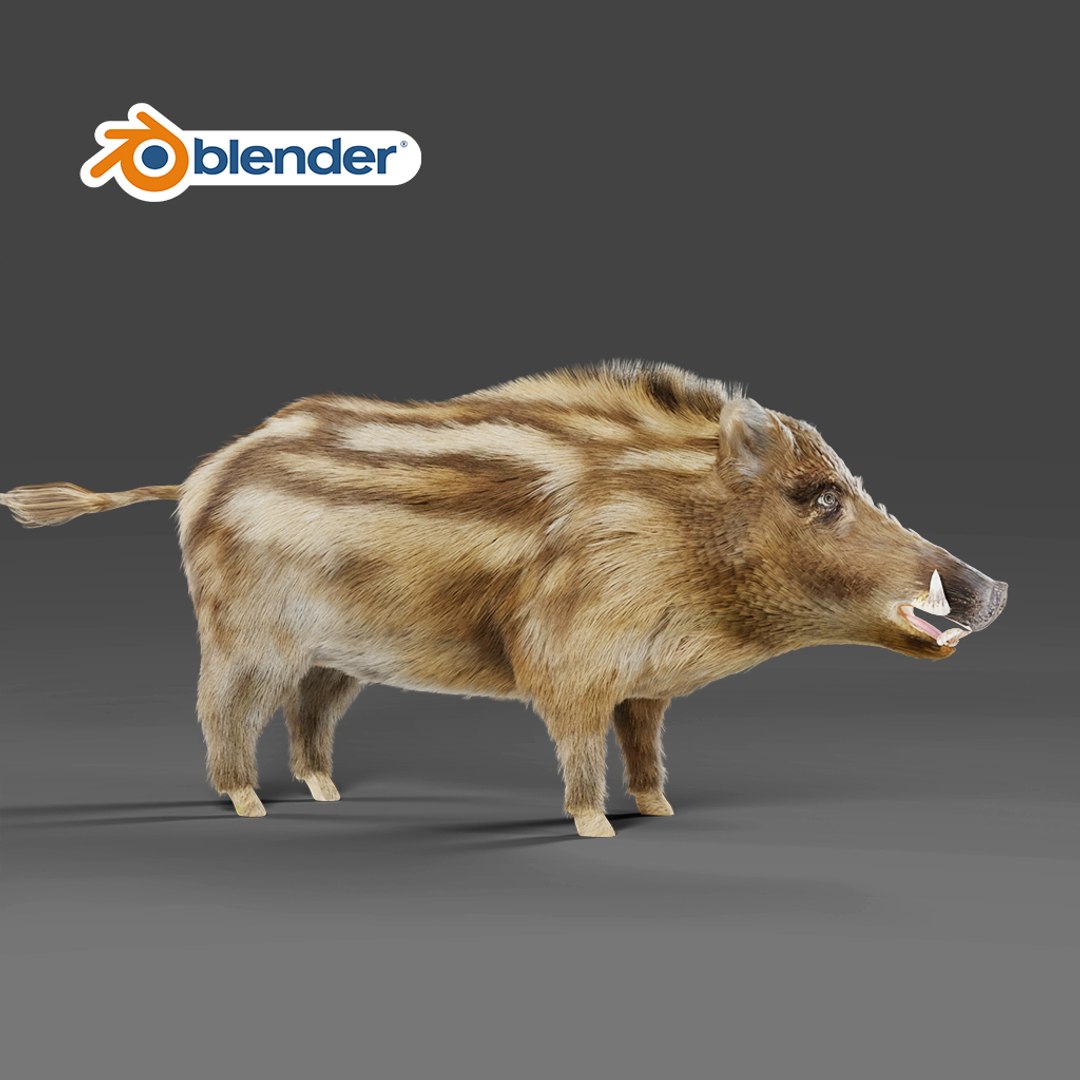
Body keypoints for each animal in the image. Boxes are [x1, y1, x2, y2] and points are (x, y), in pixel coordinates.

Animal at [0, 362, 1007, 837]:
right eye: (822, 500)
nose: (992, 589)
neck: (682, 534)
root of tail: (199, 476)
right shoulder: (571, 665)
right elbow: (582, 754)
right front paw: (597, 828)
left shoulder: (645, 682)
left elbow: (644, 749)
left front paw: (660, 813)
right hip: (245, 638)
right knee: (221, 713)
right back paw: (249, 806)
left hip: (335, 658)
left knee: (310, 714)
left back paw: (326, 793)